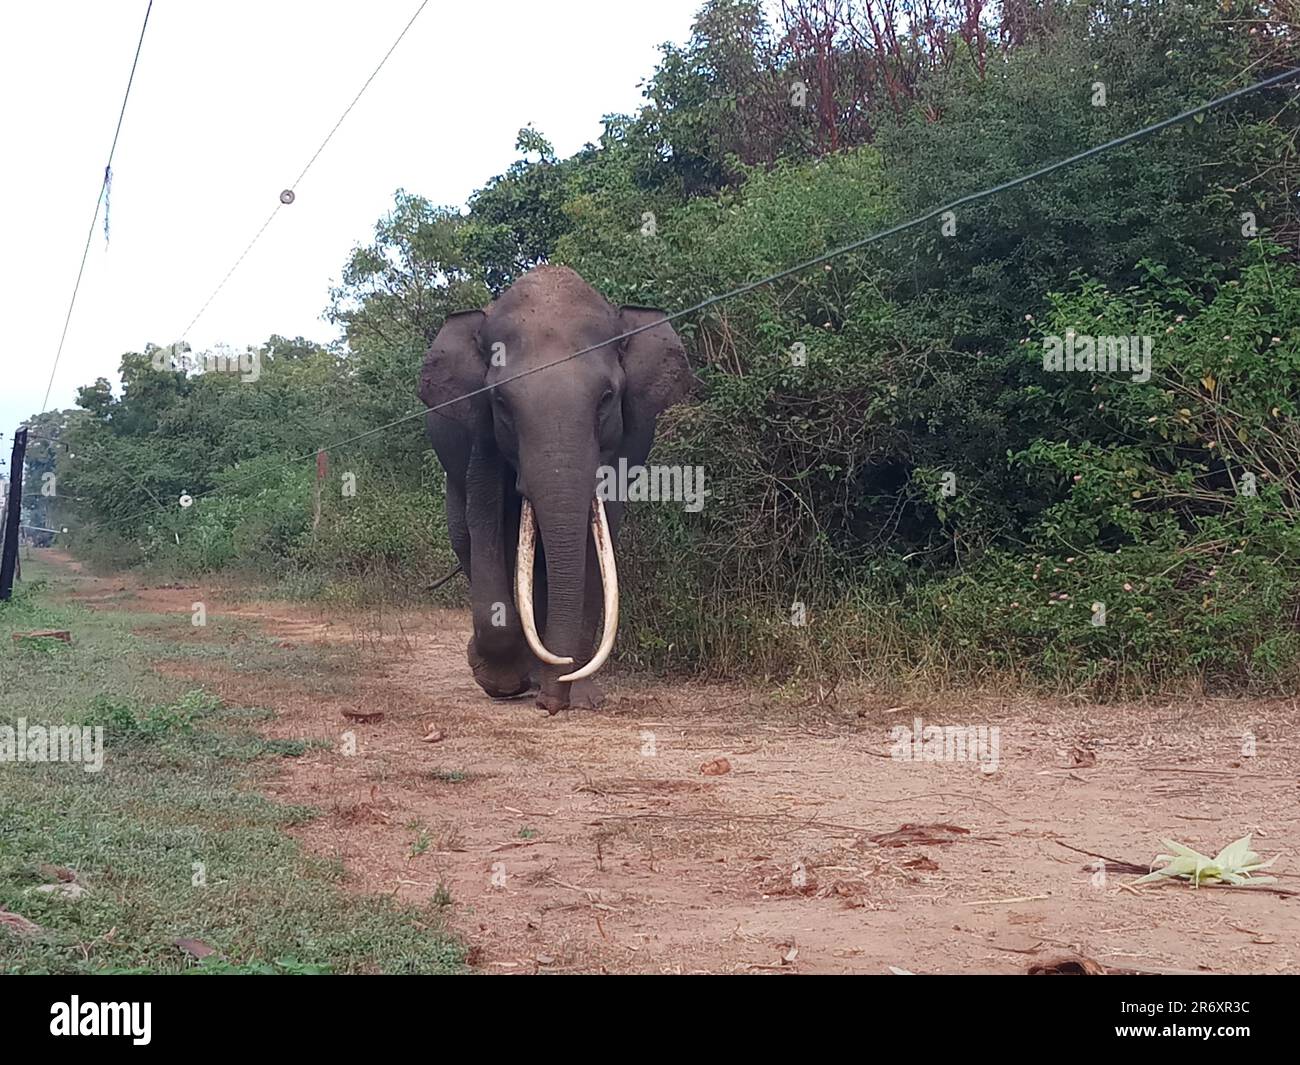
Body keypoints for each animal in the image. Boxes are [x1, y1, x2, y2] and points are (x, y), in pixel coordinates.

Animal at [418, 265, 693, 713]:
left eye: (607, 397)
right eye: (501, 401)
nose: (550, 704)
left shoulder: (629, 438)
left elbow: (598, 538)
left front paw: (577, 696)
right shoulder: (479, 431)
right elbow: (488, 521)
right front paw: (501, 682)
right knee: (468, 537)